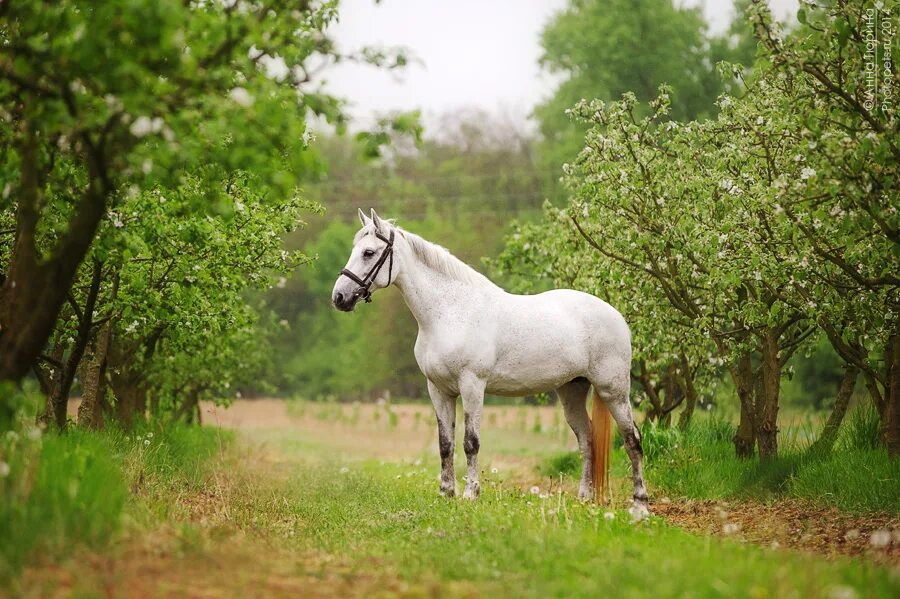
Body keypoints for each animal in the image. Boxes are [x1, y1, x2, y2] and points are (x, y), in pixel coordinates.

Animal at [330, 207, 648, 516]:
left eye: (368, 252)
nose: (339, 297)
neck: (450, 312)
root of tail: (616, 316)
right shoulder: (439, 390)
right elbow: (445, 444)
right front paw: (446, 493)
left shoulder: (472, 386)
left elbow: (471, 442)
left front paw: (471, 494)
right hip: (572, 390)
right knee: (586, 439)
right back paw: (585, 499)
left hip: (613, 390)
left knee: (632, 439)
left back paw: (640, 506)